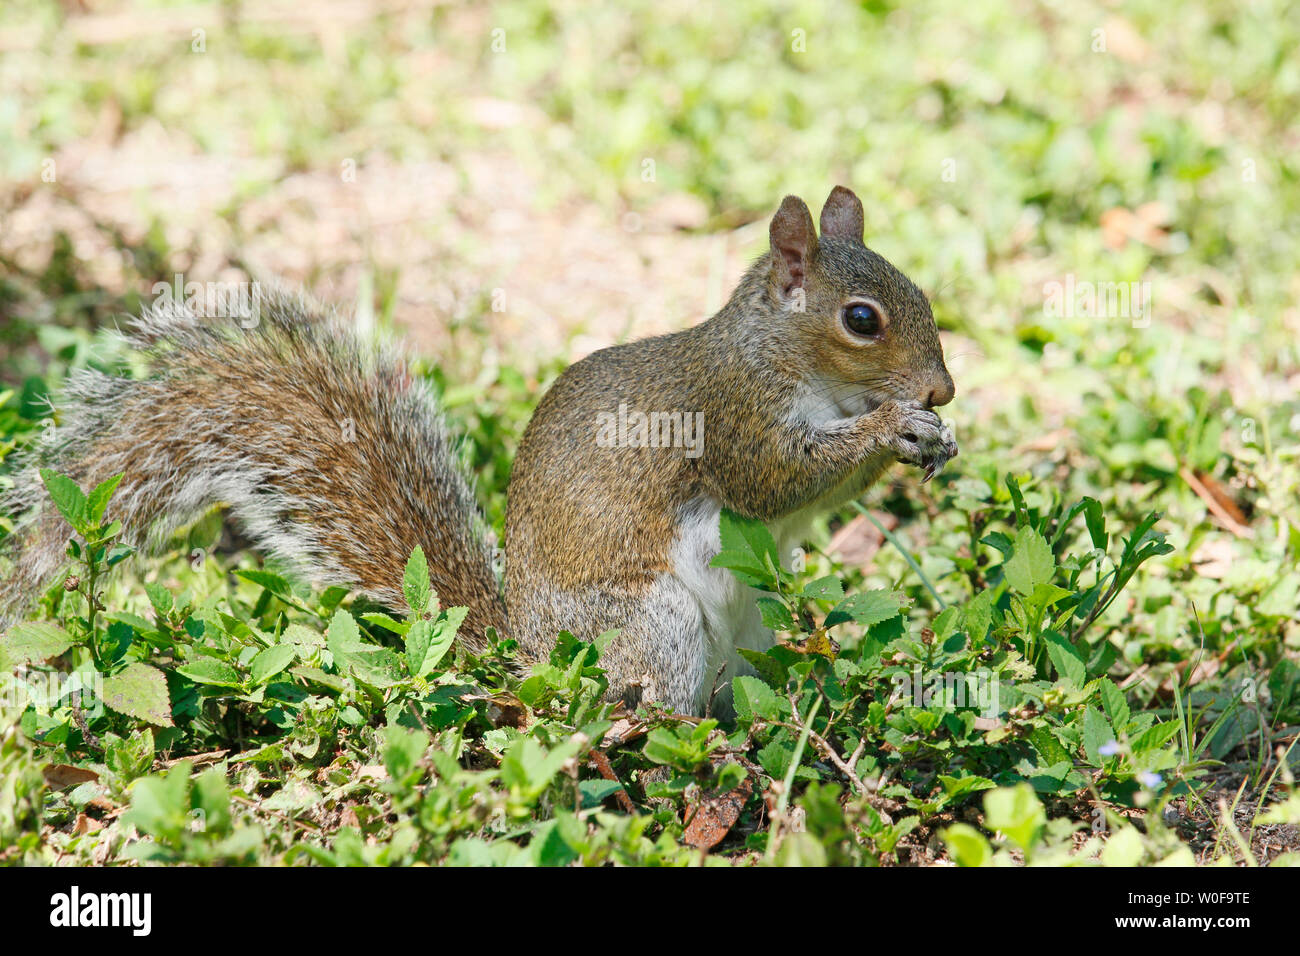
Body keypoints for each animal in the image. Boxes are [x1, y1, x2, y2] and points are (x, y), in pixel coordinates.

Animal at [1, 186, 956, 716]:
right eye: (861, 320)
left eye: (921, 291)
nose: (942, 391)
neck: (780, 356)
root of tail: (528, 657)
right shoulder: (732, 417)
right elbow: (777, 481)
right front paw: (892, 428)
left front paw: (930, 437)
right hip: (649, 625)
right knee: (644, 706)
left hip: (748, 628)